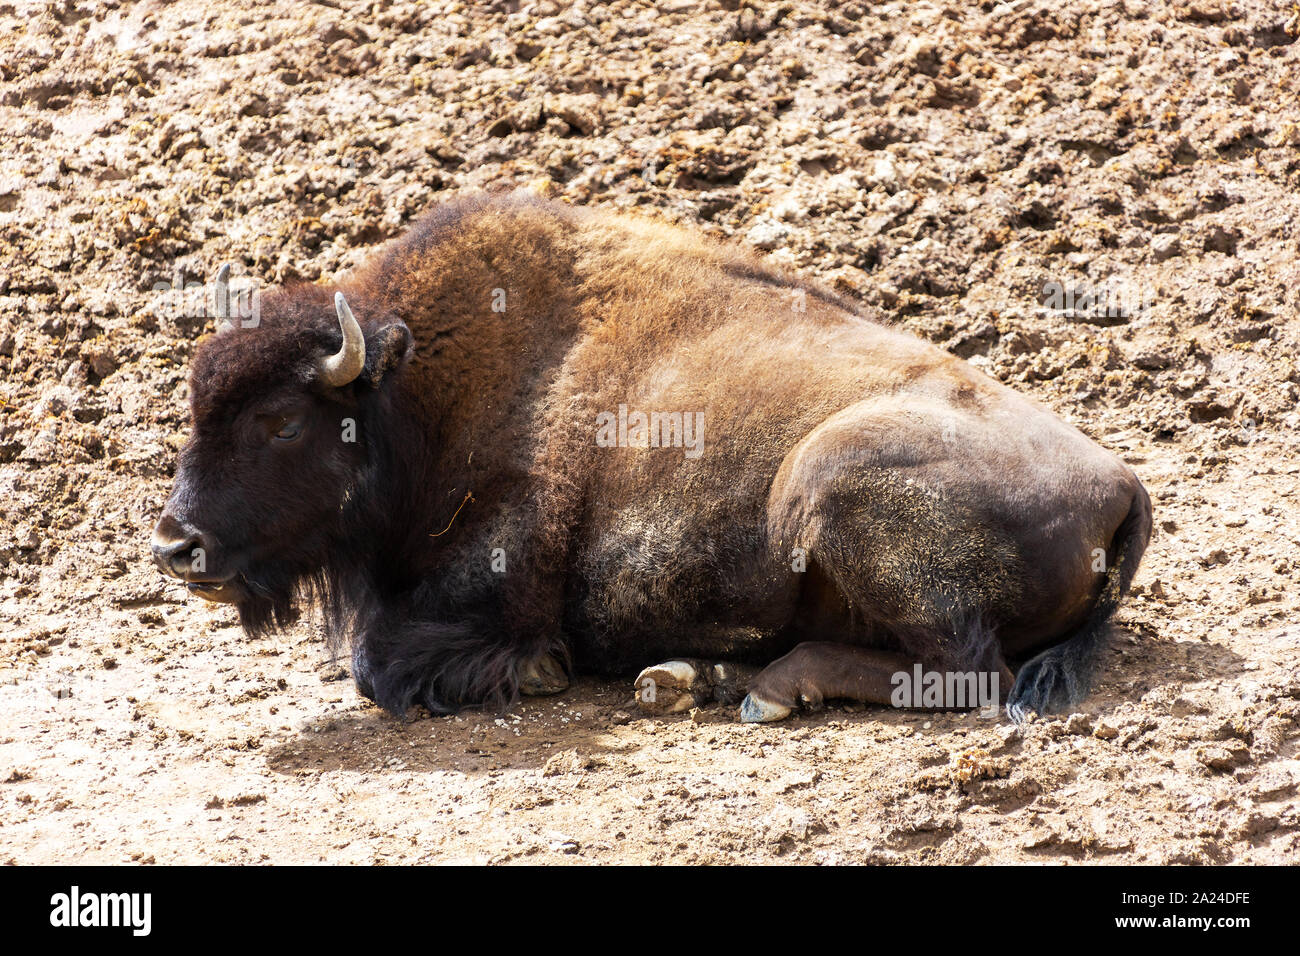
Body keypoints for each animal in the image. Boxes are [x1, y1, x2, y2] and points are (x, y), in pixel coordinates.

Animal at [151, 192, 1151, 723]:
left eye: (283, 422)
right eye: (197, 406)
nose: (175, 548)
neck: (419, 389)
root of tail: (1123, 482)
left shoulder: (497, 588)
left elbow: (378, 663)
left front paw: (541, 672)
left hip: (832, 482)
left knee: (965, 672)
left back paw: (767, 690)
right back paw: (688, 679)